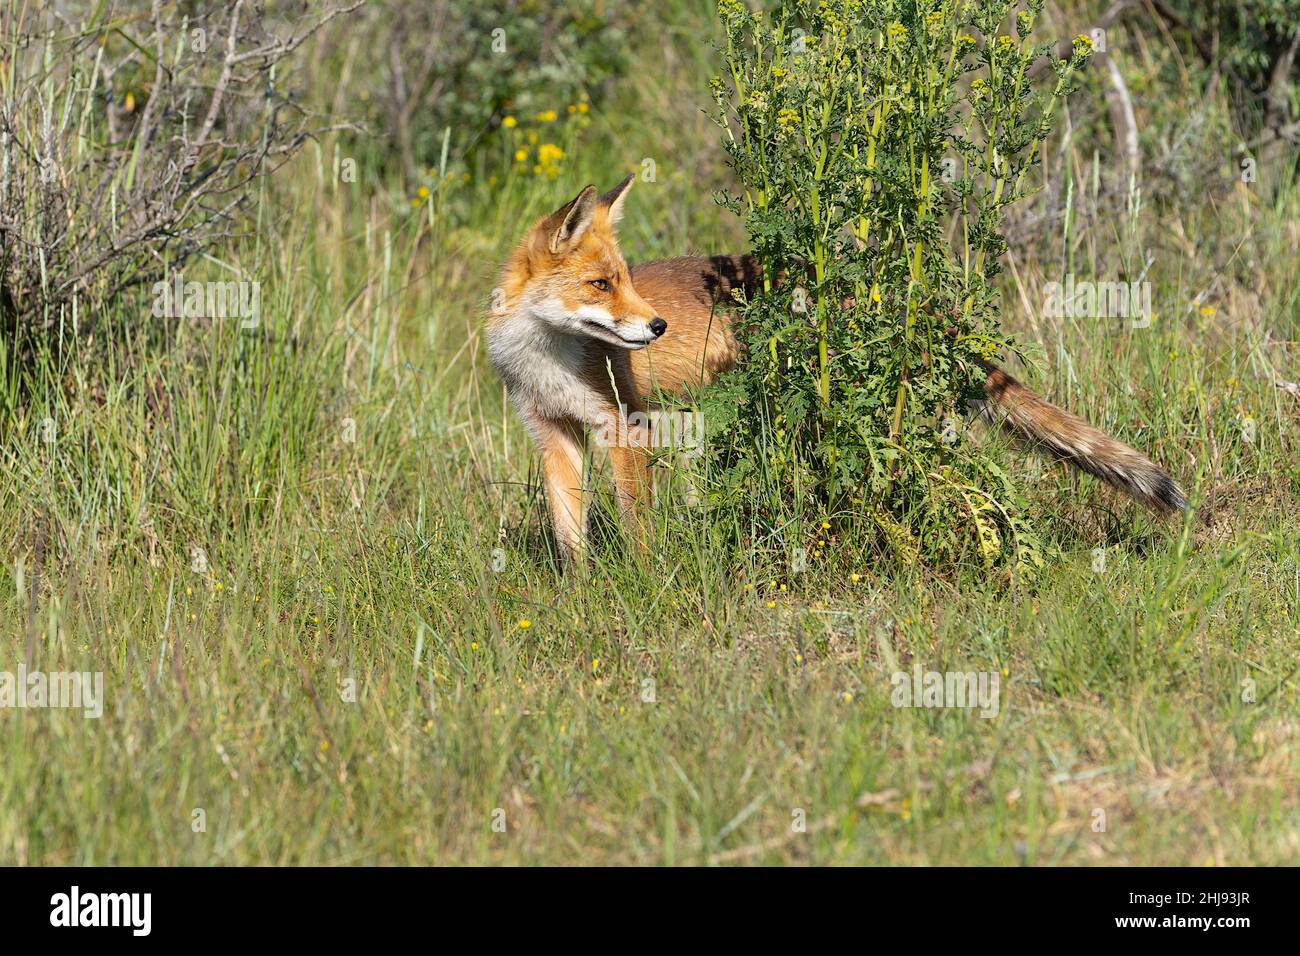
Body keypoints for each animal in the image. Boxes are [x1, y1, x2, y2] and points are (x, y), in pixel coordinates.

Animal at [487, 174, 1191, 564]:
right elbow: (569, 537)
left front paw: (642, 579)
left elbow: (636, 528)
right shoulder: (553, 433)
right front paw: (582, 599)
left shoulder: (625, 427)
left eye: (627, 281)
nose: (656, 326)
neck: (547, 358)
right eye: (601, 285)